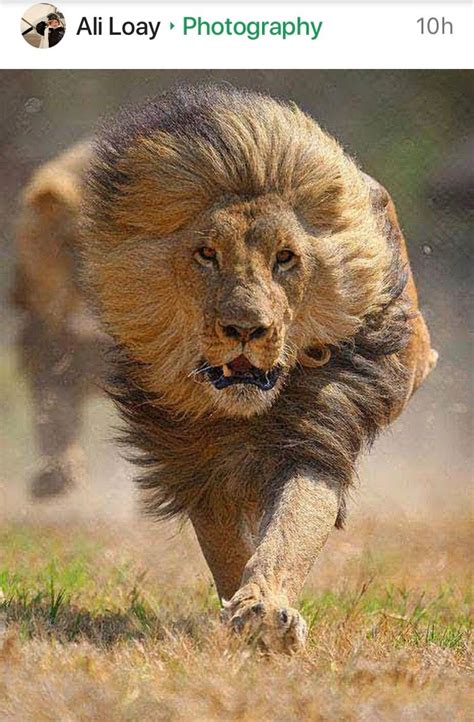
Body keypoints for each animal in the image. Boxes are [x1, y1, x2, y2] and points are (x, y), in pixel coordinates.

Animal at [20, 84, 437, 652]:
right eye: (206, 254)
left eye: (285, 258)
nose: (246, 328)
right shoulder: (192, 456)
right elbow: (226, 546)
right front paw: (244, 611)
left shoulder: (315, 435)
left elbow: (291, 530)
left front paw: (264, 611)